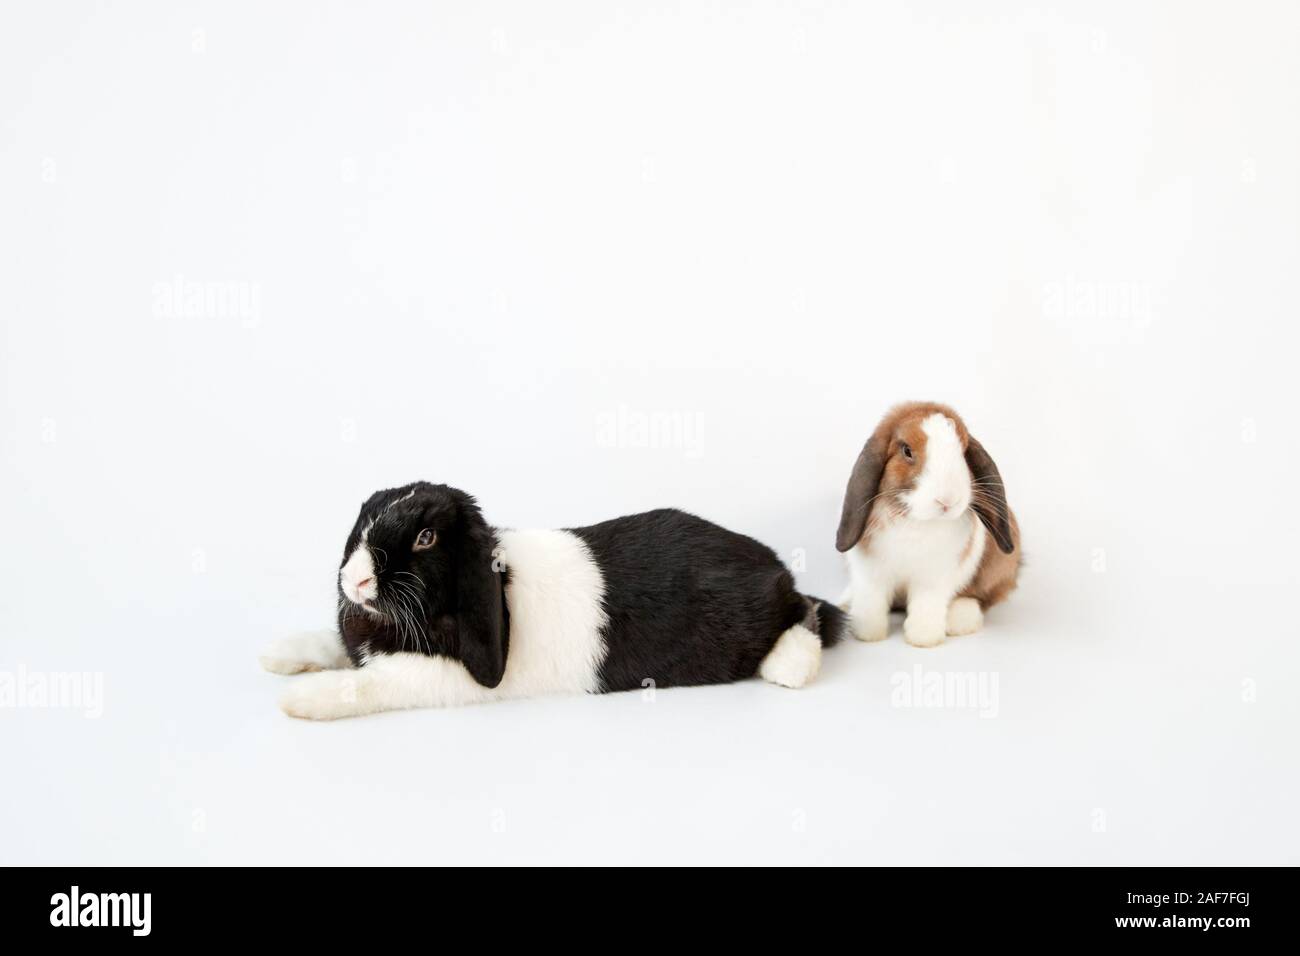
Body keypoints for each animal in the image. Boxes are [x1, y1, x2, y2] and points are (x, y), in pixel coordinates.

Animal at [260, 482, 847, 719]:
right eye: (364, 517)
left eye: (426, 538)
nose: (355, 581)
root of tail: (773, 567)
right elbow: (334, 647)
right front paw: (280, 653)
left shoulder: (434, 677)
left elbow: (367, 684)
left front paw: (300, 700)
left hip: (762, 616)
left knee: (807, 613)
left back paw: (789, 666)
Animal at [834, 402, 1020, 648]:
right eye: (907, 451)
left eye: (963, 452)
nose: (948, 500)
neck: (915, 521)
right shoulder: (870, 575)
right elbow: (870, 604)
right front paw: (867, 635)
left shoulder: (933, 578)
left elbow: (926, 606)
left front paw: (923, 639)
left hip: (996, 568)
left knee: (982, 596)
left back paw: (961, 618)